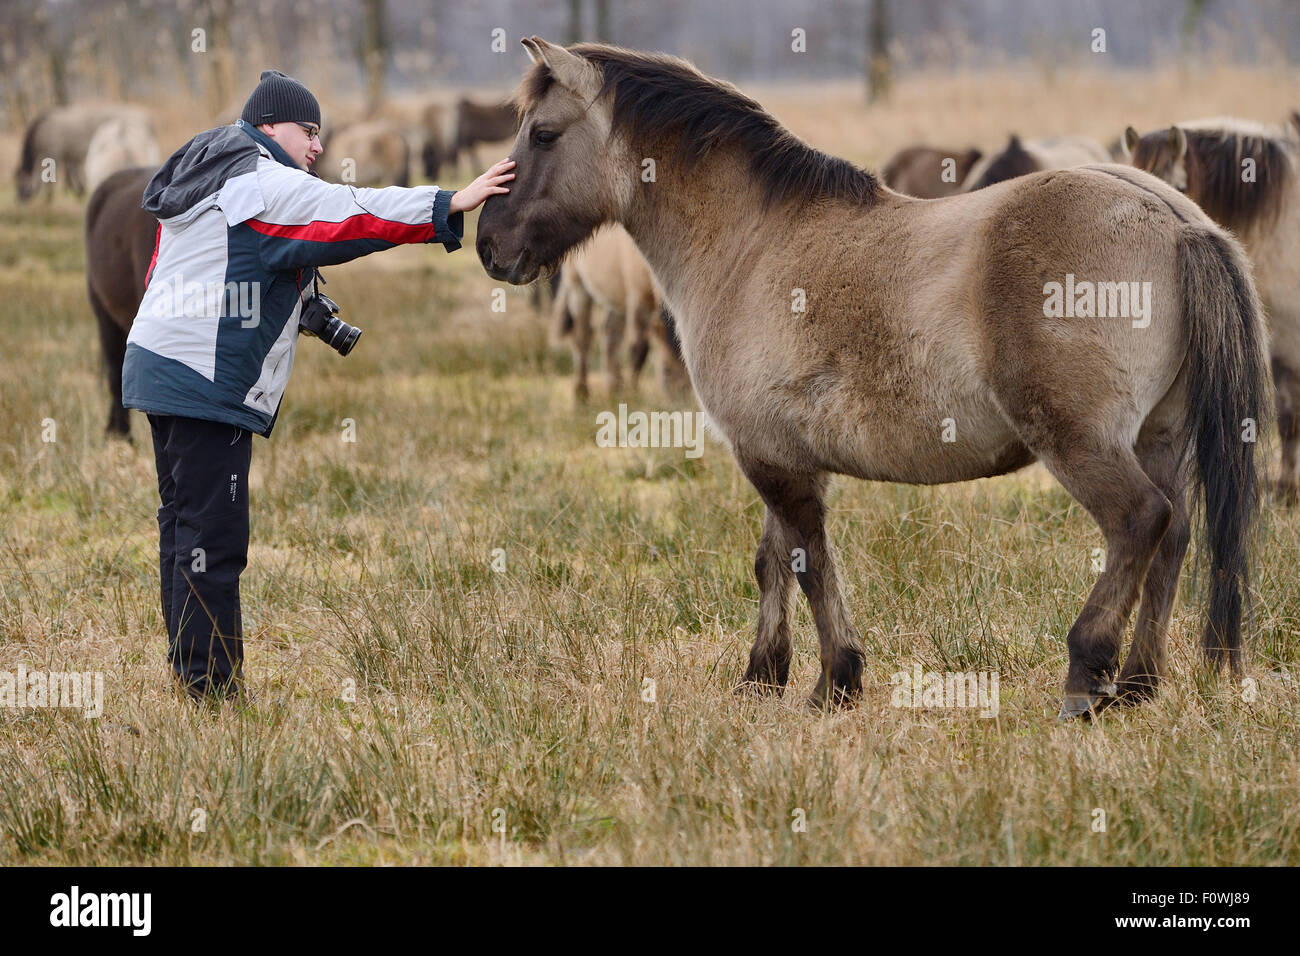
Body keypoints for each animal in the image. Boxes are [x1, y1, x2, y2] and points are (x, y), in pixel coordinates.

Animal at [16, 102, 151, 201]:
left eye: (21, 180)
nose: (19, 199)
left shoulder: (54, 153)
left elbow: (51, 178)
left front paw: (50, 198)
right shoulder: (68, 156)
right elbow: (70, 175)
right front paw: (76, 191)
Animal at [551, 224, 688, 399]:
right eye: (668, 369)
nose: (682, 394)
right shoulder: (637, 298)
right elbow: (639, 347)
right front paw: (633, 392)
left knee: (610, 335)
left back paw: (614, 388)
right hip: (578, 288)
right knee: (582, 338)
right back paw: (582, 392)